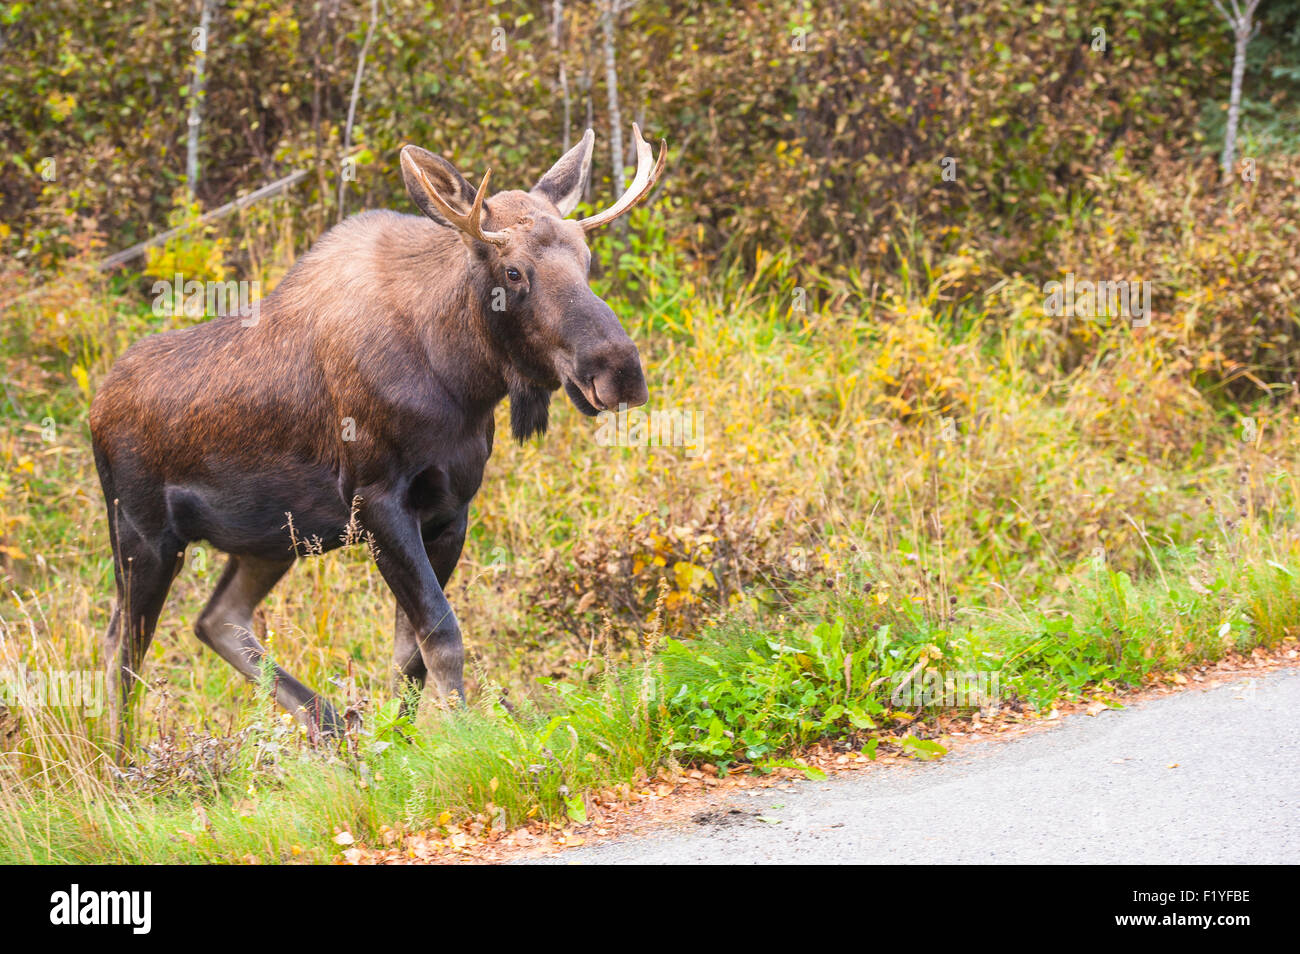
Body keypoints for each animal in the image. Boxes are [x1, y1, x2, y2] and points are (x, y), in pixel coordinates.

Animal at [89, 125, 666, 748]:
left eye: (586, 258)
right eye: (513, 272)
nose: (619, 370)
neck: (462, 376)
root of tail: (95, 408)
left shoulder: (449, 510)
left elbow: (410, 654)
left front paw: (401, 743)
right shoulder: (377, 502)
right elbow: (441, 633)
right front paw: (463, 738)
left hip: (268, 541)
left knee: (216, 619)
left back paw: (331, 726)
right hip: (143, 537)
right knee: (123, 649)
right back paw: (121, 761)